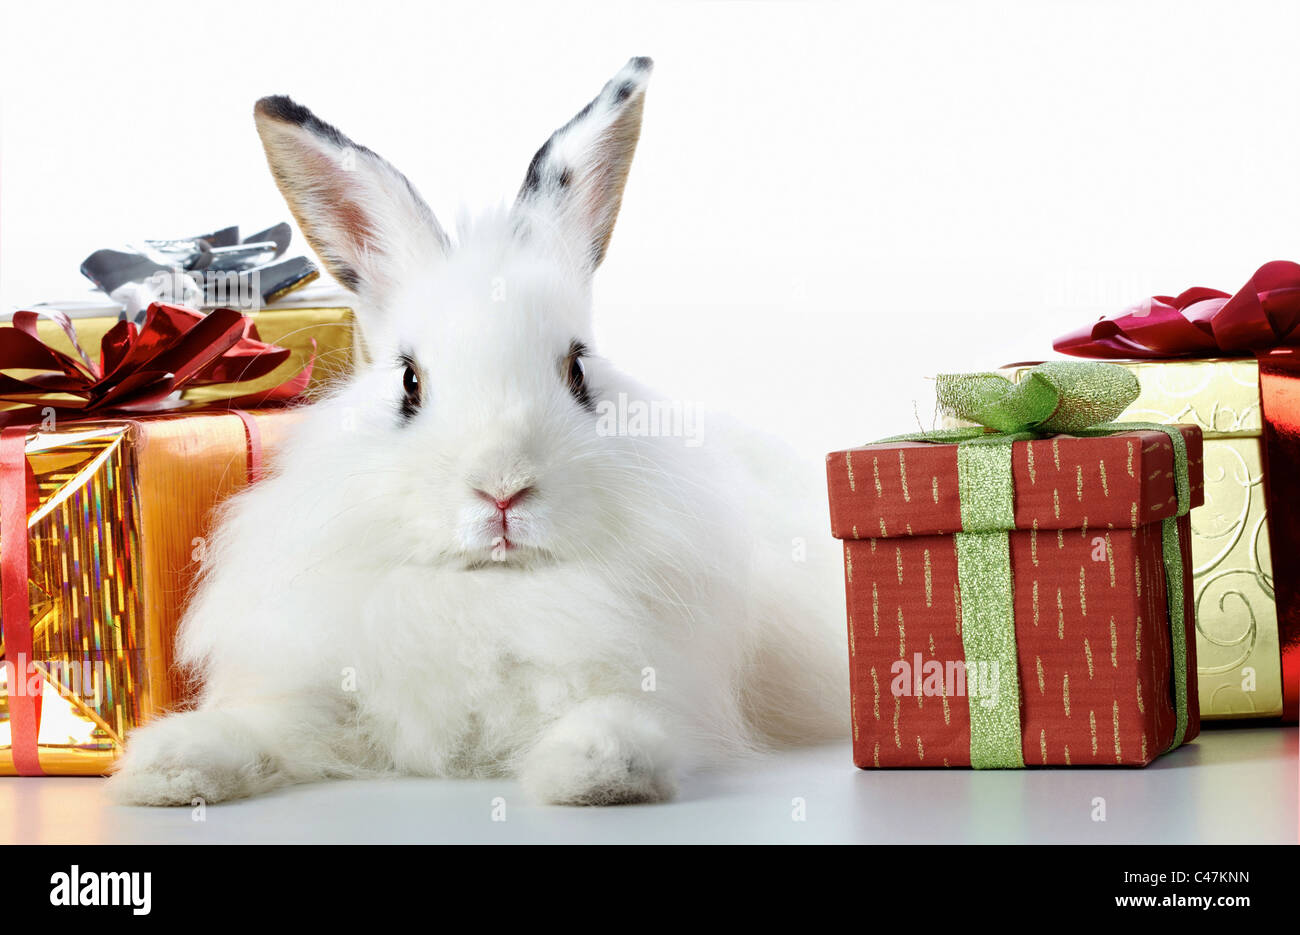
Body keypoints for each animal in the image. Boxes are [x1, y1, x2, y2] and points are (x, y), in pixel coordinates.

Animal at [106, 57, 848, 808]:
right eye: (409, 382)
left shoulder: (668, 687)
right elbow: (270, 725)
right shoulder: (325, 693)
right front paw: (168, 766)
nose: (502, 490)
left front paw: (596, 766)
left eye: (578, 370)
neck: (486, 589)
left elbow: (625, 714)